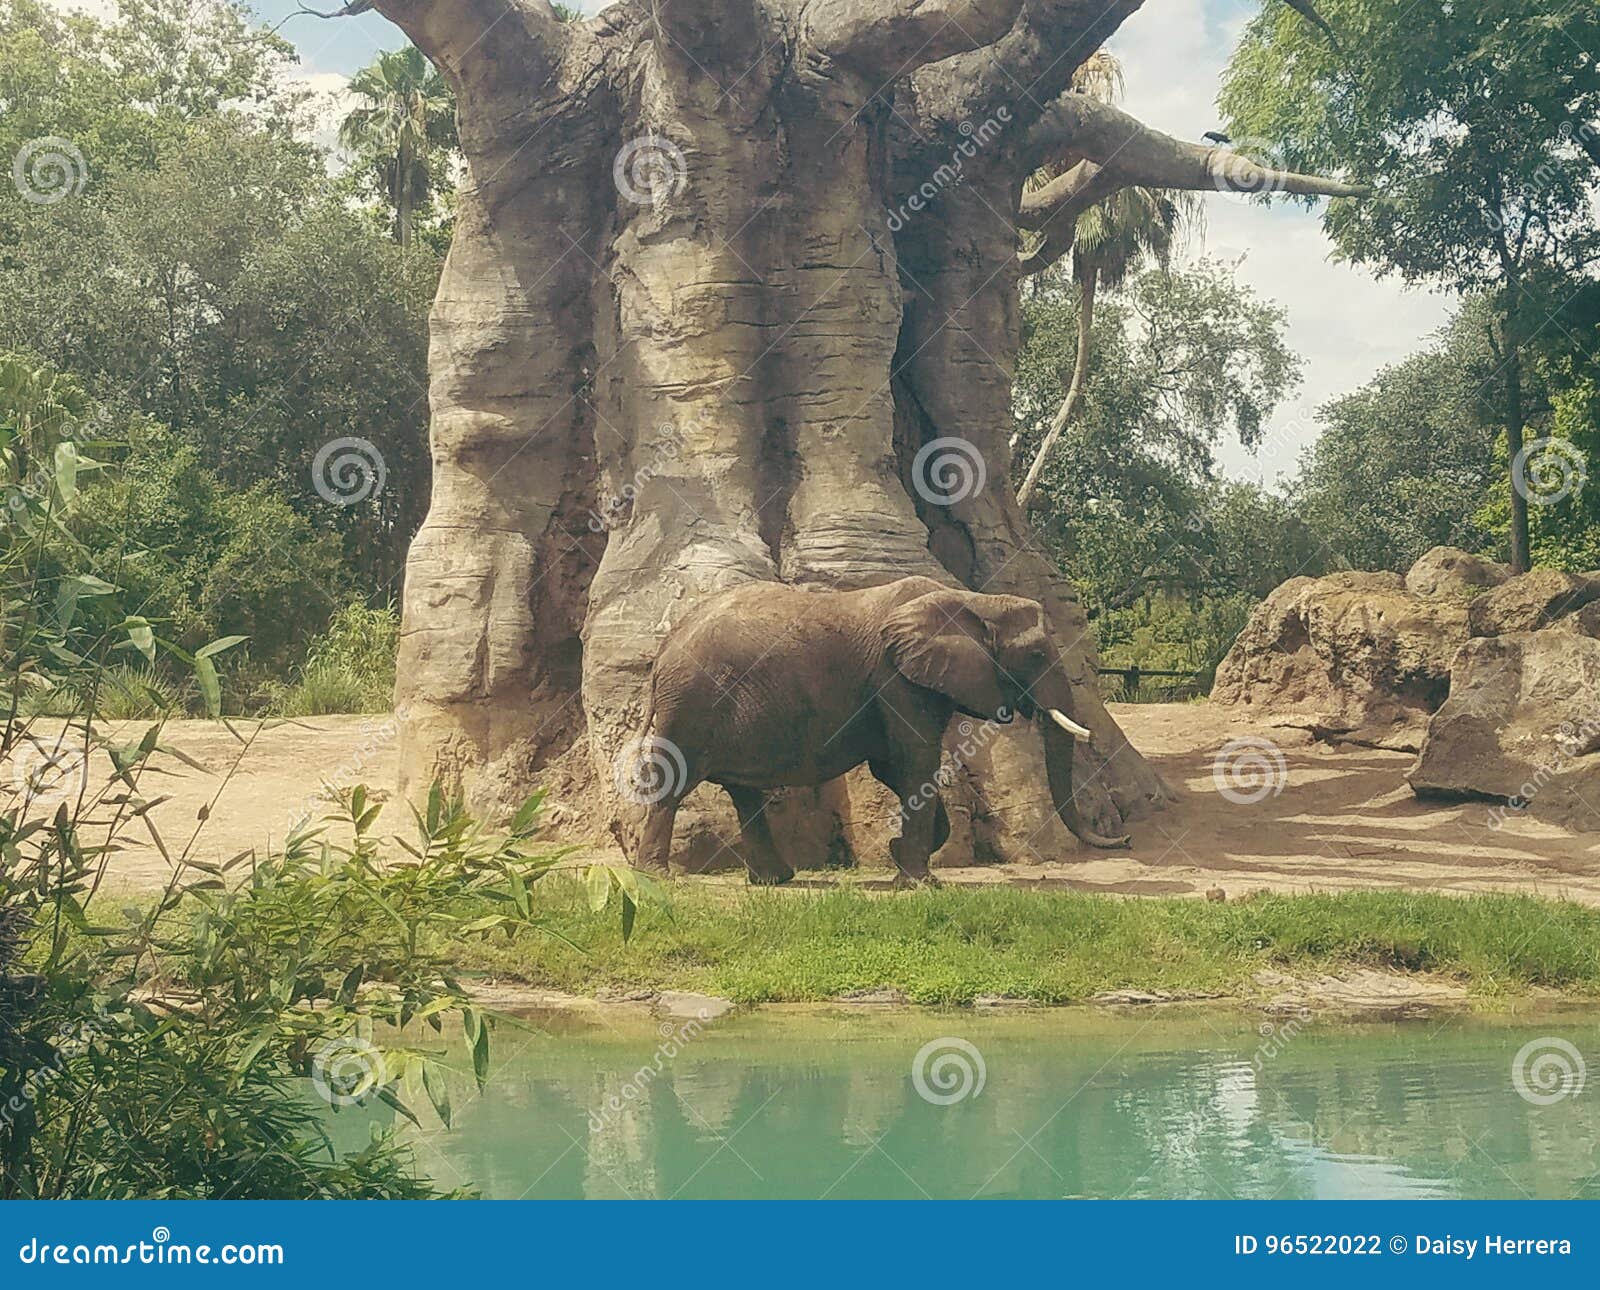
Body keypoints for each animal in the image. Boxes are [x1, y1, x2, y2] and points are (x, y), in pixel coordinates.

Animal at [620, 576, 1132, 885]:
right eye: (1038, 656)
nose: (1123, 840)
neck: (972, 599)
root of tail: (664, 648)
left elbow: (895, 768)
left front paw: (901, 859)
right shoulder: (897, 677)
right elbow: (915, 760)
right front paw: (922, 882)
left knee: (744, 793)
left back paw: (774, 880)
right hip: (690, 705)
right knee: (677, 786)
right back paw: (657, 877)